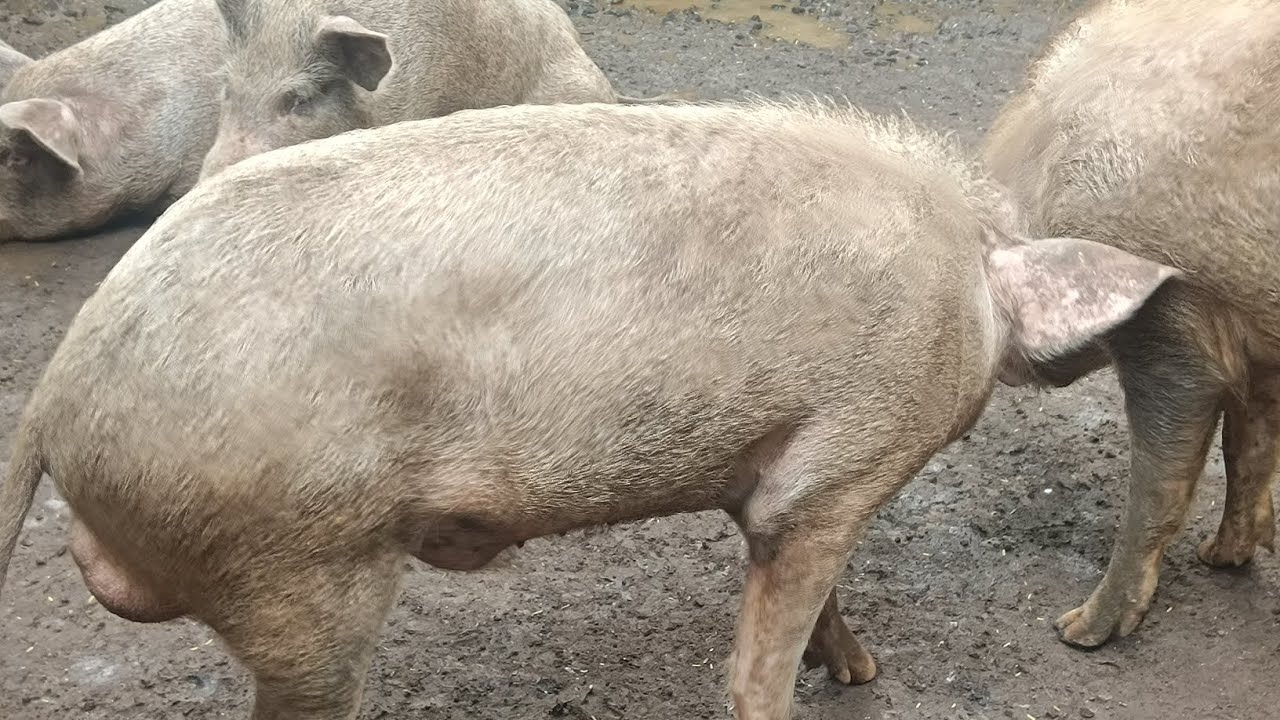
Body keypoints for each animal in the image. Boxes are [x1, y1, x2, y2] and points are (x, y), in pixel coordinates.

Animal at [0, 100, 1176, 719]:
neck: (970, 289)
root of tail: (56, 389)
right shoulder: (845, 456)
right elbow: (775, 609)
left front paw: (860, 670)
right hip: (296, 562)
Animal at [982, 0, 1280, 648]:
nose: (1004, 369)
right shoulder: (1255, 344)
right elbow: (1248, 447)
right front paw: (1218, 558)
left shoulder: (1174, 316)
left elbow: (1160, 477)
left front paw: (1075, 633)